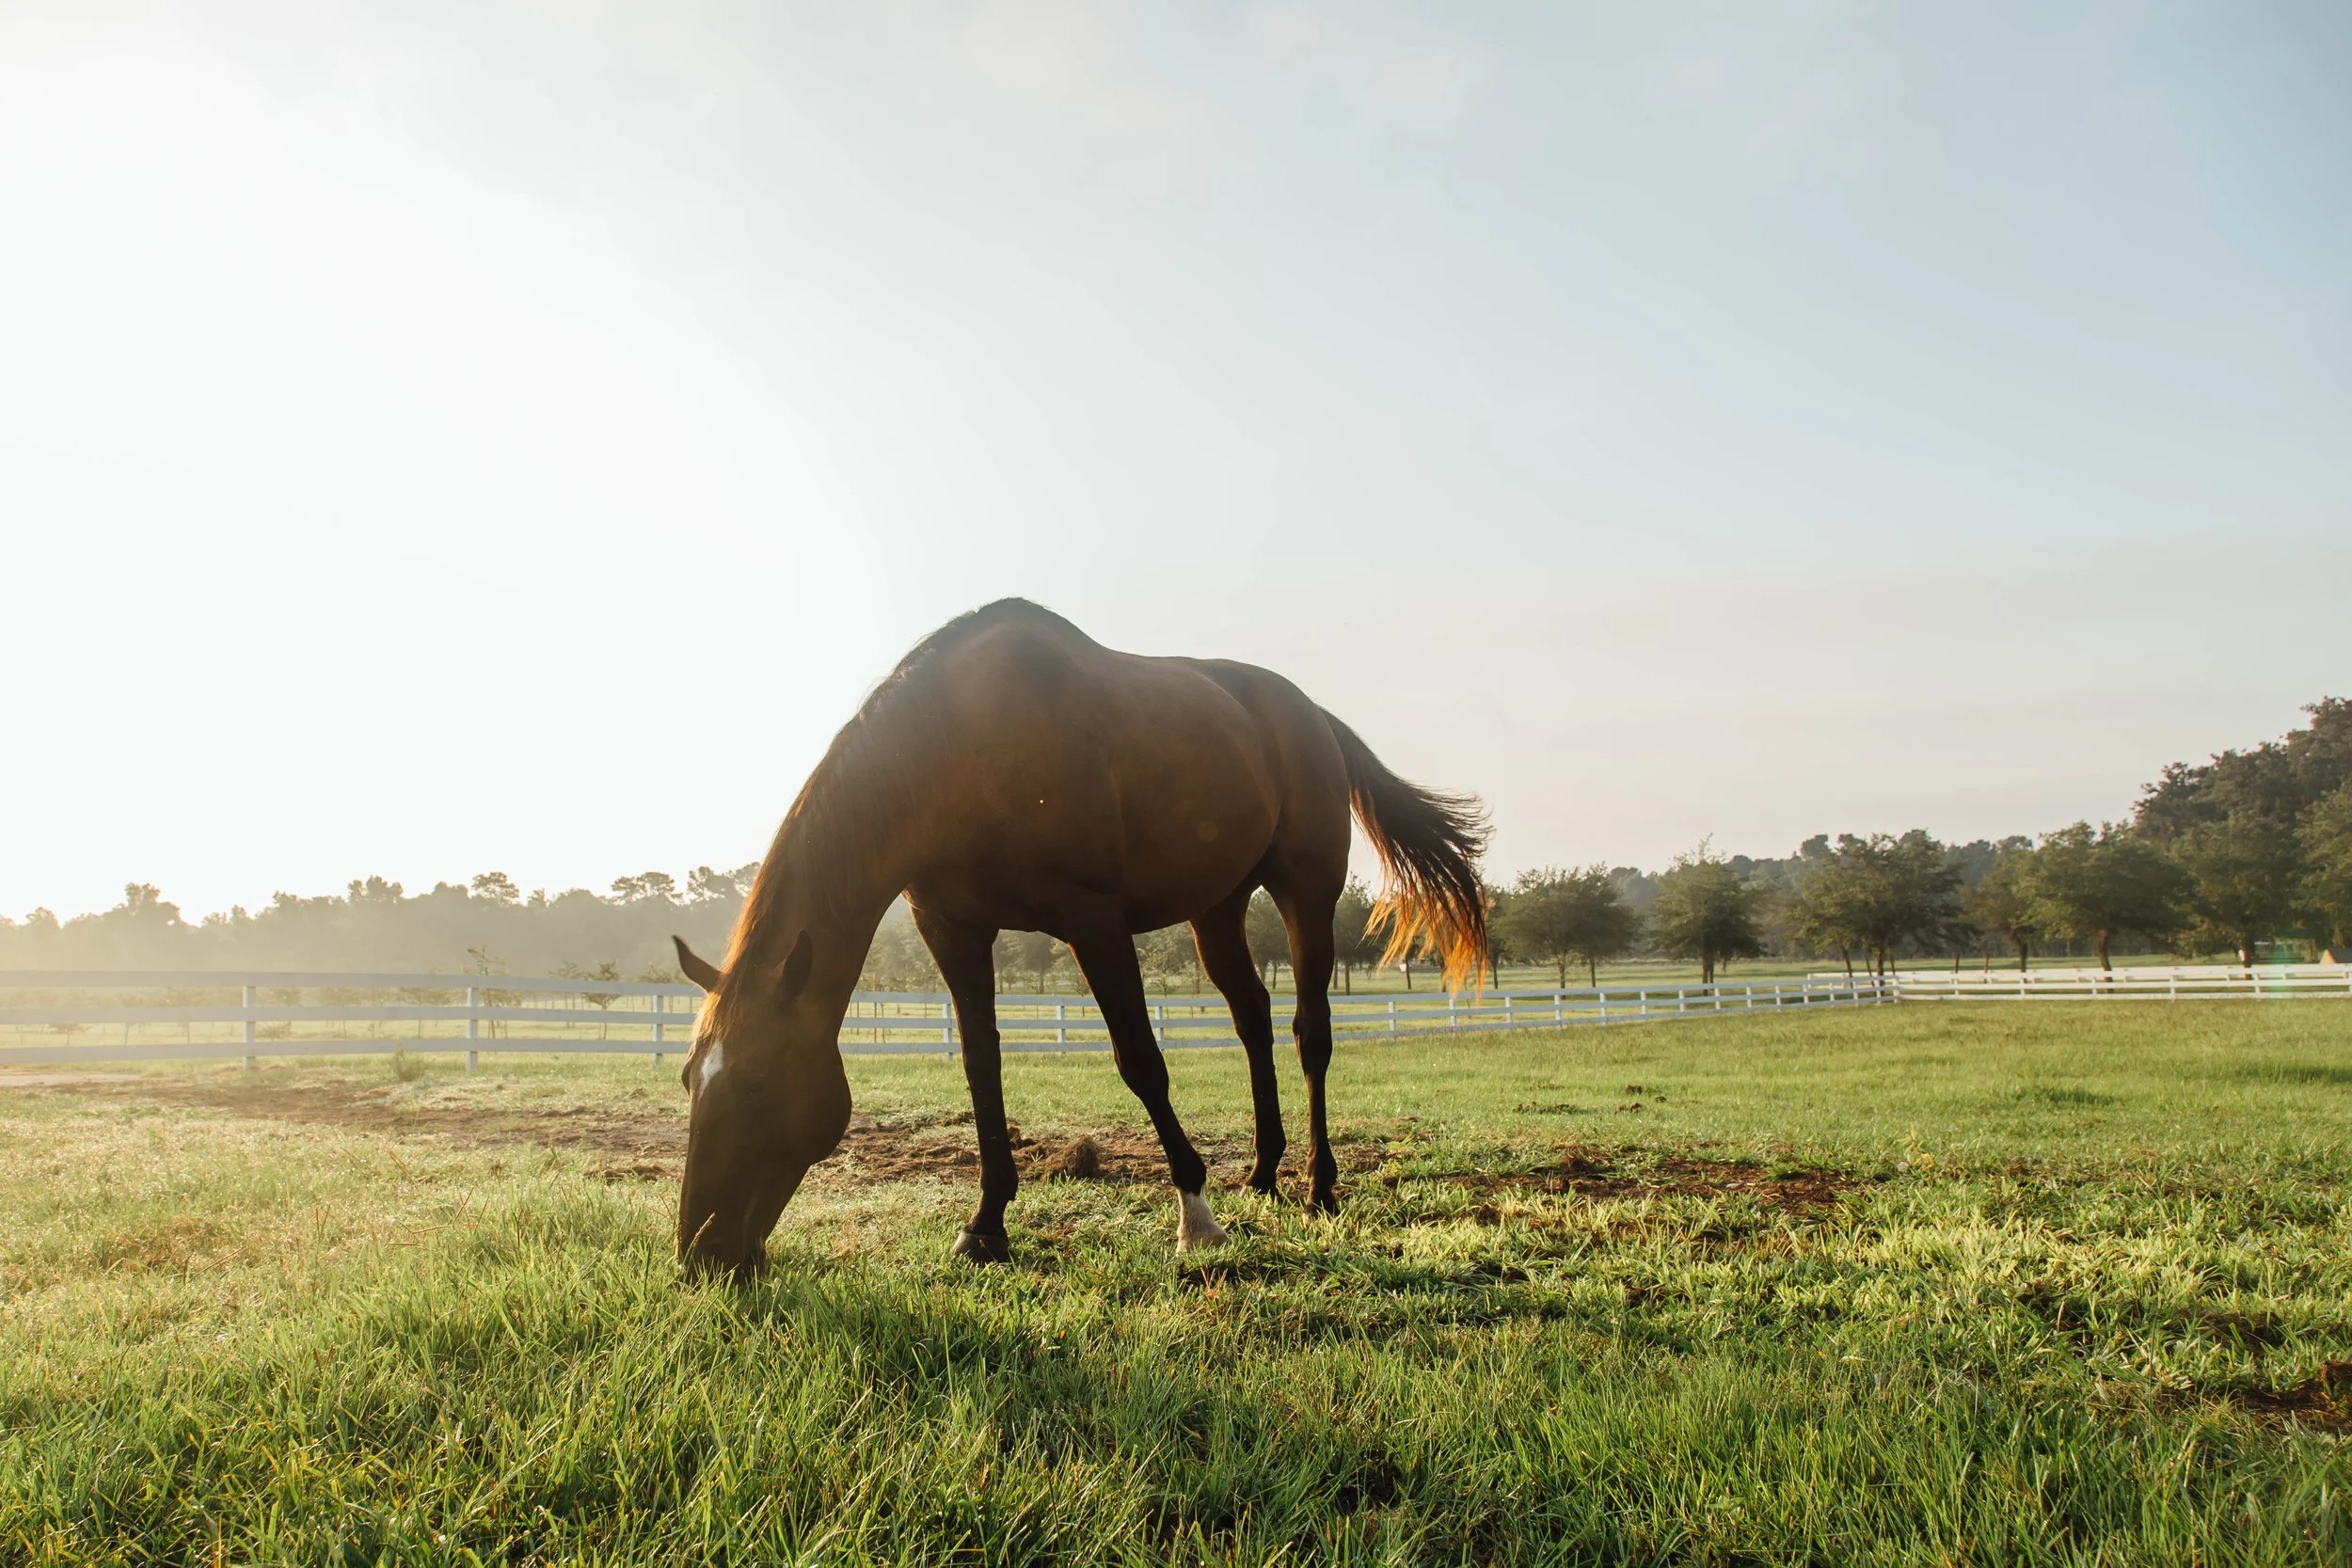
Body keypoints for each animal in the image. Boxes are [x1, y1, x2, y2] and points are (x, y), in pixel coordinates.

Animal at [670, 599, 1486, 1275]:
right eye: (686, 1078)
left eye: (756, 1082)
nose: (701, 1253)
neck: (957, 746)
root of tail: (1310, 712)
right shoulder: (953, 927)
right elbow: (981, 1066)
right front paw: (985, 1224)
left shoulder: (1093, 920)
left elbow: (1141, 1062)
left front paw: (1195, 1217)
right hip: (1216, 908)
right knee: (1252, 1018)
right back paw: (1260, 1174)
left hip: (1305, 892)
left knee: (1308, 1030)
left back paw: (1319, 1185)